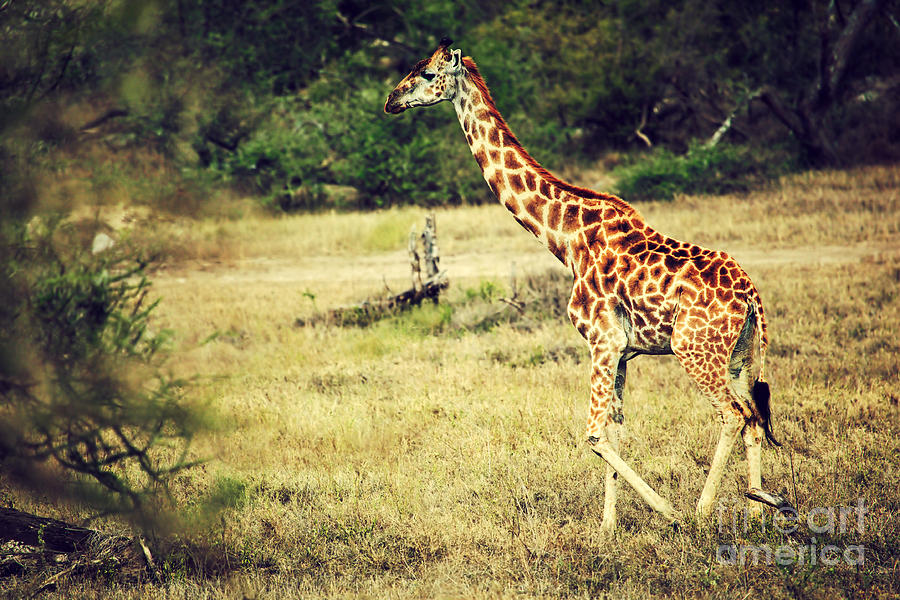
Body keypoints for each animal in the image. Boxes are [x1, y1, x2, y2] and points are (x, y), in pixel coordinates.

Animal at [385, 38, 783, 530]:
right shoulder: (622, 350)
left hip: (693, 348)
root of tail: (751, 296)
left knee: (733, 414)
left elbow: (594, 434)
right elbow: (615, 430)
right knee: (754, 414)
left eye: (426, 74)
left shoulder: (602, 340)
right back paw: (760, 505)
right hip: (741, 352)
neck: (564, 237)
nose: (390, 100)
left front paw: (662, 511)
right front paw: (610, 528)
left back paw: (701, 511)